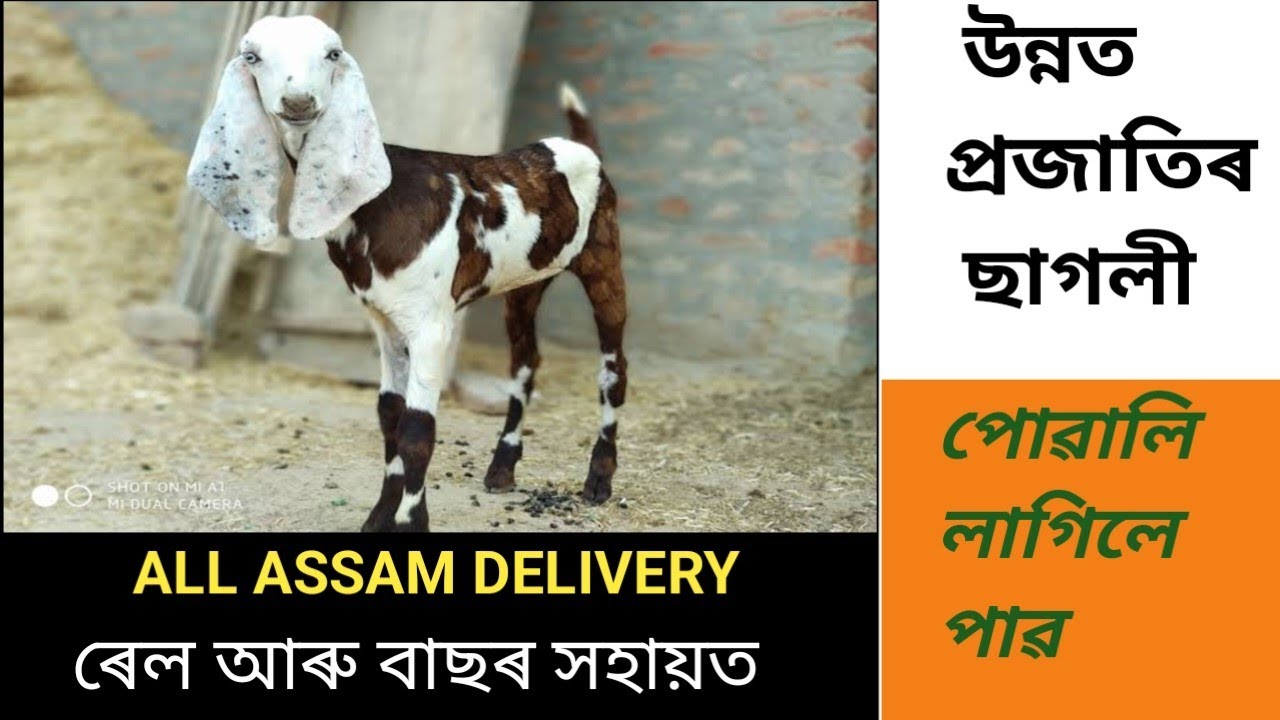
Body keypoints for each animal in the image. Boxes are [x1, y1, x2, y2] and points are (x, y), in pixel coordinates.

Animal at [188, 15, 627, 531]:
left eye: (332, 53)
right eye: (252, 56)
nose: (298, 103)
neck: (384, 199)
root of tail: (582, 148)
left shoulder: (431, 324)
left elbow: (418, 428)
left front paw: (412, 522)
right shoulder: (384, 319)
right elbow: (389, 416)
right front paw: (380, 517)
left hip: (605, 262)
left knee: (613, 371)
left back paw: (598, 481)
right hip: (526, 285)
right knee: (525, 365)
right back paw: (501, 469)